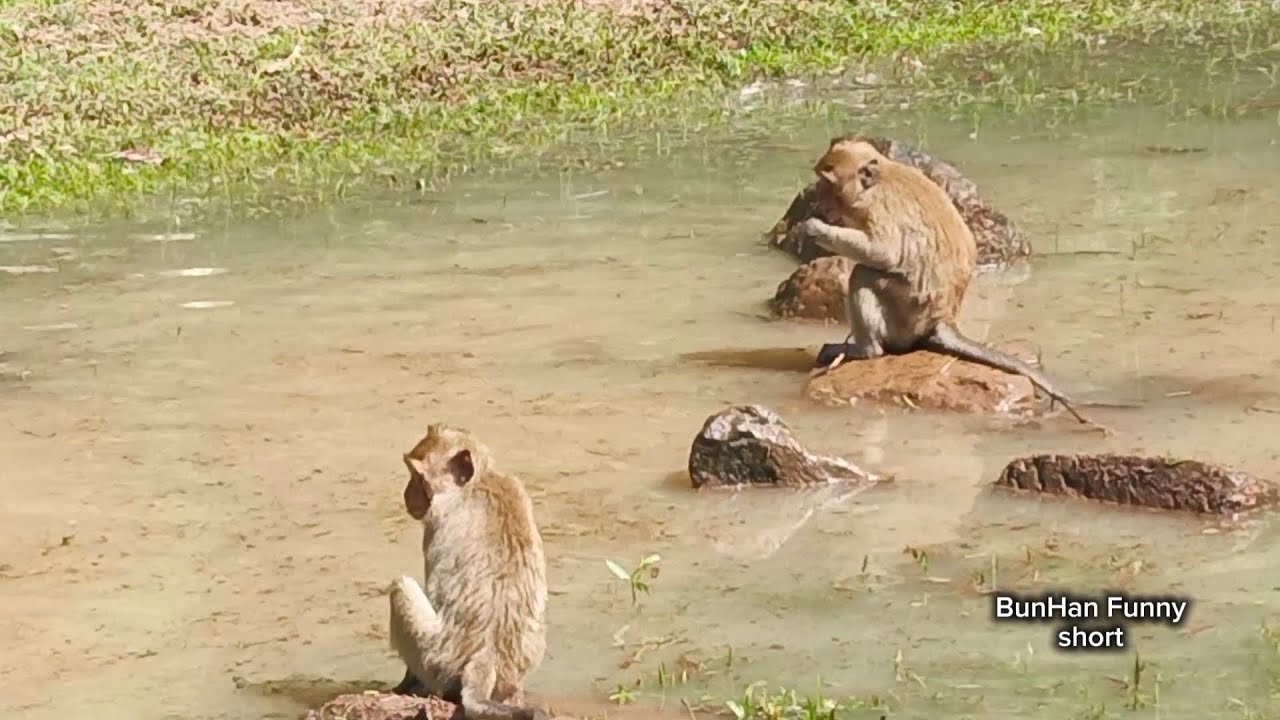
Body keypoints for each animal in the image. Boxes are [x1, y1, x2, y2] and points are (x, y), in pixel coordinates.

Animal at [388, 423, 550, 720]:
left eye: (418, 477)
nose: (407, 494)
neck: (480, 481)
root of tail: (486, 657)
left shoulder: (435, 522)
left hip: (436, 658)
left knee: (401, 586)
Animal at [791, 137, 1091, 425]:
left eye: (827, 182)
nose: (818, 199)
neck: (883, 174)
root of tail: (944, 319)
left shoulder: (875, 207)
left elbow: (884, 252)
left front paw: (814, 228)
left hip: (905, 316)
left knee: (863, 275)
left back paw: (865, 350)